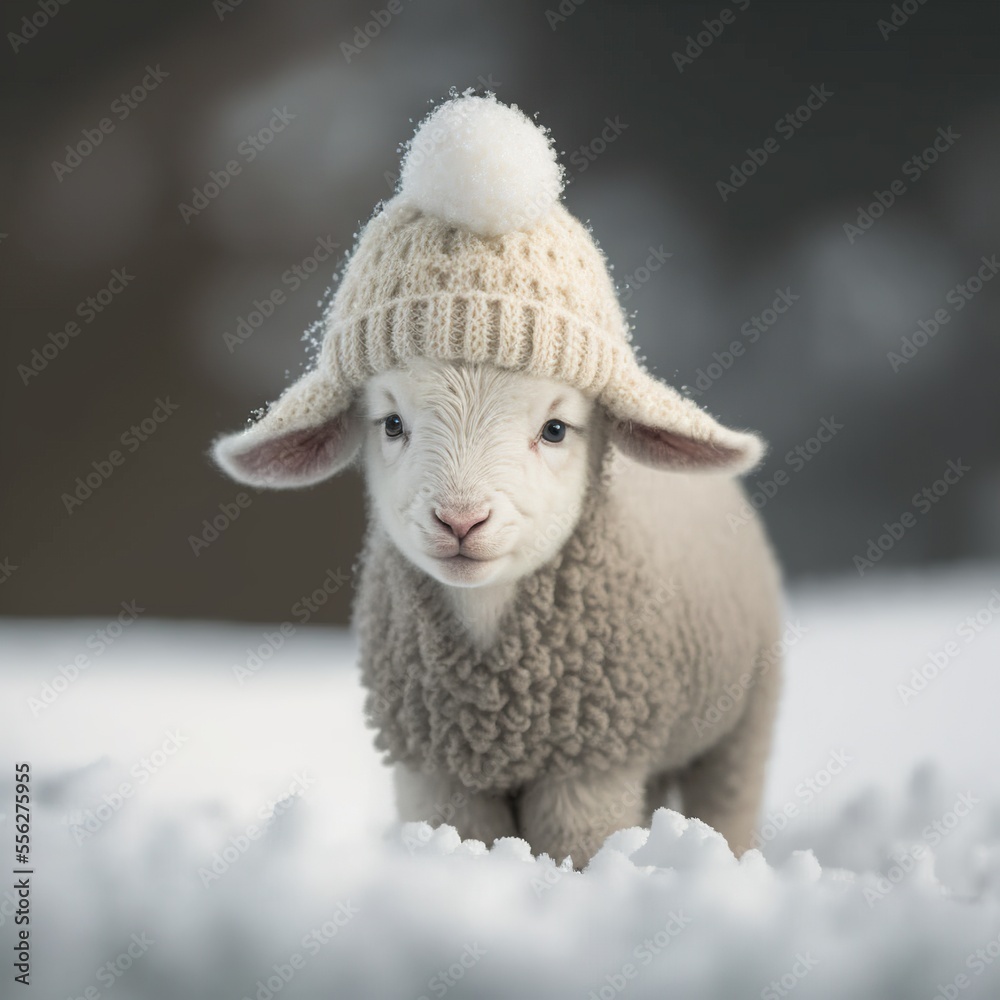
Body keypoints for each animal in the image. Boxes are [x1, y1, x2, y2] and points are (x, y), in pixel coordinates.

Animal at [212, 93, 783, 868]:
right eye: (390, 424)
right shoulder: (436, 773)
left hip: (741, 722)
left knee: (730, 800)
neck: (498, 699)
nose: (460, 521)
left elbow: (581, 850)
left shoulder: (590, 767)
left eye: (556, 429)